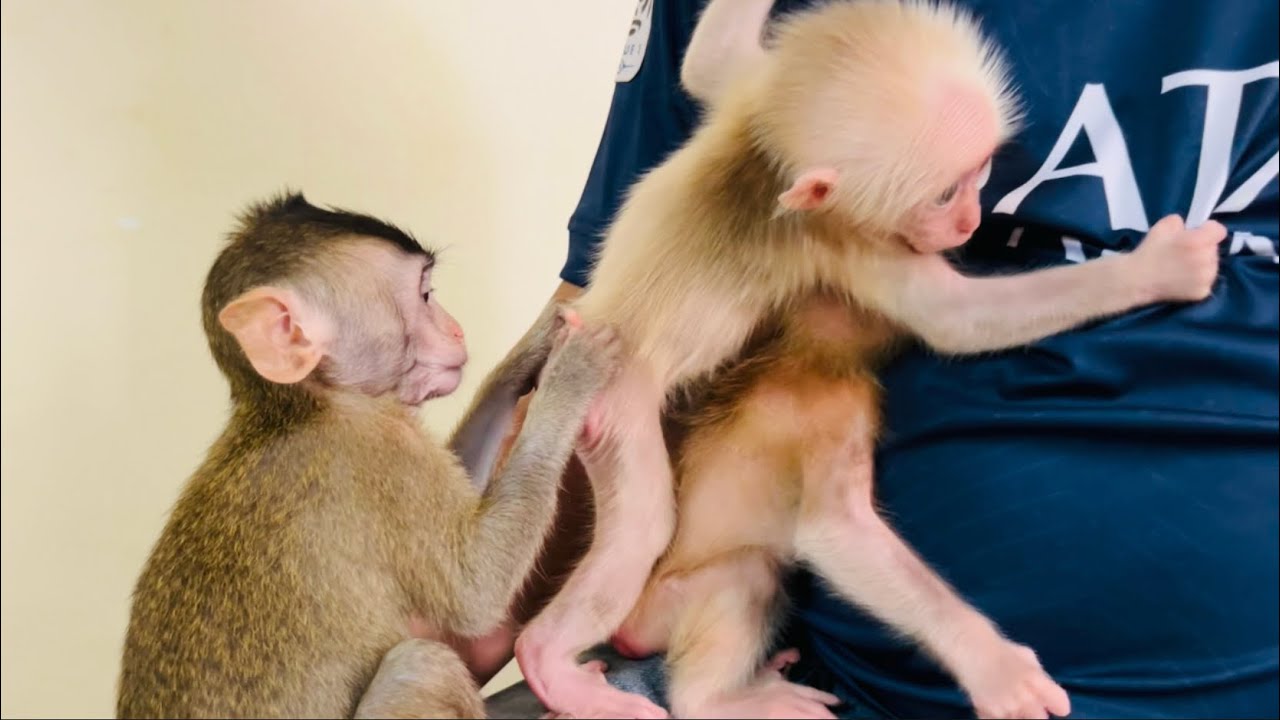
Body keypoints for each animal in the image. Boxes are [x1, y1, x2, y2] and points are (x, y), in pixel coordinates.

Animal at [116, 192, 621, 719]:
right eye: (425, 294)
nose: (456, 331)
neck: (308, 401)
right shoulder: (377, 455)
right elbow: (476, 590)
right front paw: (571, 372)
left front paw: (530, 350)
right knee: (421, 663)